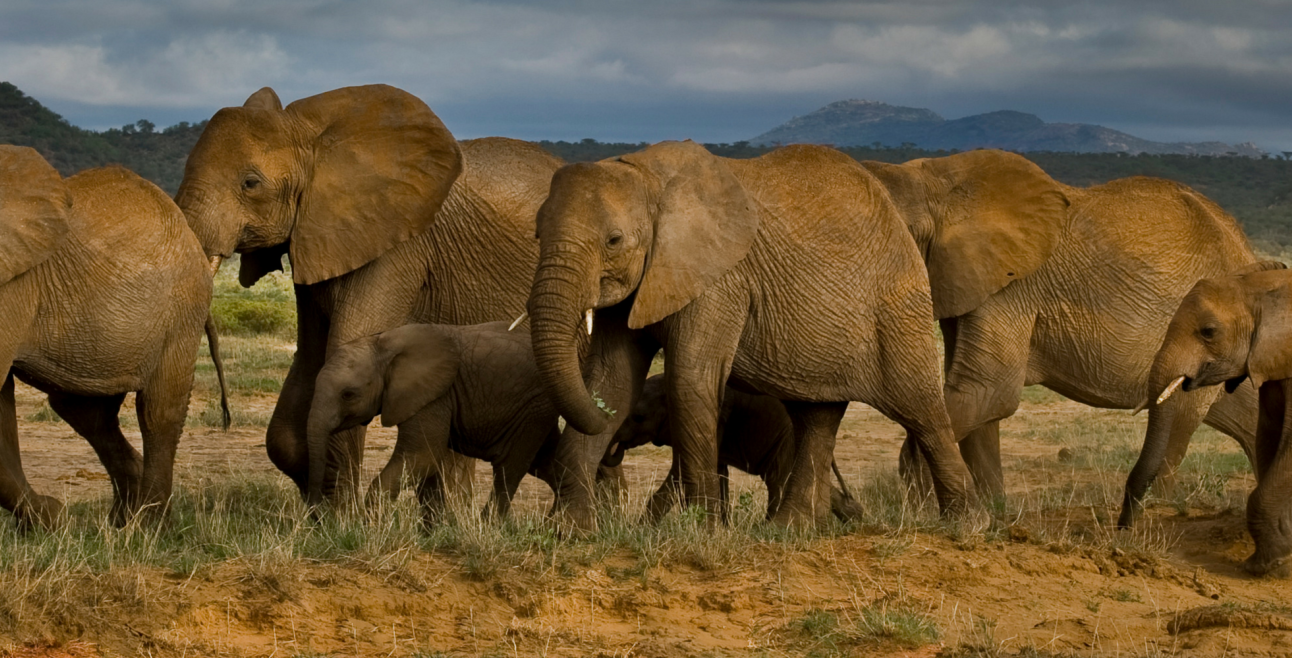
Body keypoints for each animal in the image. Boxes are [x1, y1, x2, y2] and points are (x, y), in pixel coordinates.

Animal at [0, 146, 217, 526]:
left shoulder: (13, 284)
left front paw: (51, 520)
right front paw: (48, 520)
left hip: (183, 311)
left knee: (158, 410)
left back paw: (148, 525)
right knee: (86, 412)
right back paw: (122, 518)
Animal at [306, 321, 560, 522]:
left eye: (348, 394)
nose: (319, 515)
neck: (383, 344)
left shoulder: (434, 395)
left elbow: (422, 456)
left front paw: (369, 528)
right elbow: (426, 465)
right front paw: (432, 532)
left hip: (534, 407)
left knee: (509, 467)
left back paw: (493, 525)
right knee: (547, 462)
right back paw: (556, 525)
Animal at [603, 374, 862, 523]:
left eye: (638, 417)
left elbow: (680, 470)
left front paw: (642, 529)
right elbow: (717, 472)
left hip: (786, 441)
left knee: (778, 481)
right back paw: (856, 520)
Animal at [862, 151, 1258, 499]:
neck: (938, 181)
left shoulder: (1014, 287)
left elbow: (990, 389)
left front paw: (926, 508)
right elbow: (979, 396)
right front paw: (994, 513)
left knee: (1182, 418)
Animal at [1118, 263, 1292, 575]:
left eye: (1208, 332)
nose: (1123, 528)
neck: (1266, 284)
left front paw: (1270, 566)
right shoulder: (1270, 361)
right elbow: (1268, 434)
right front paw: (1273, 556)